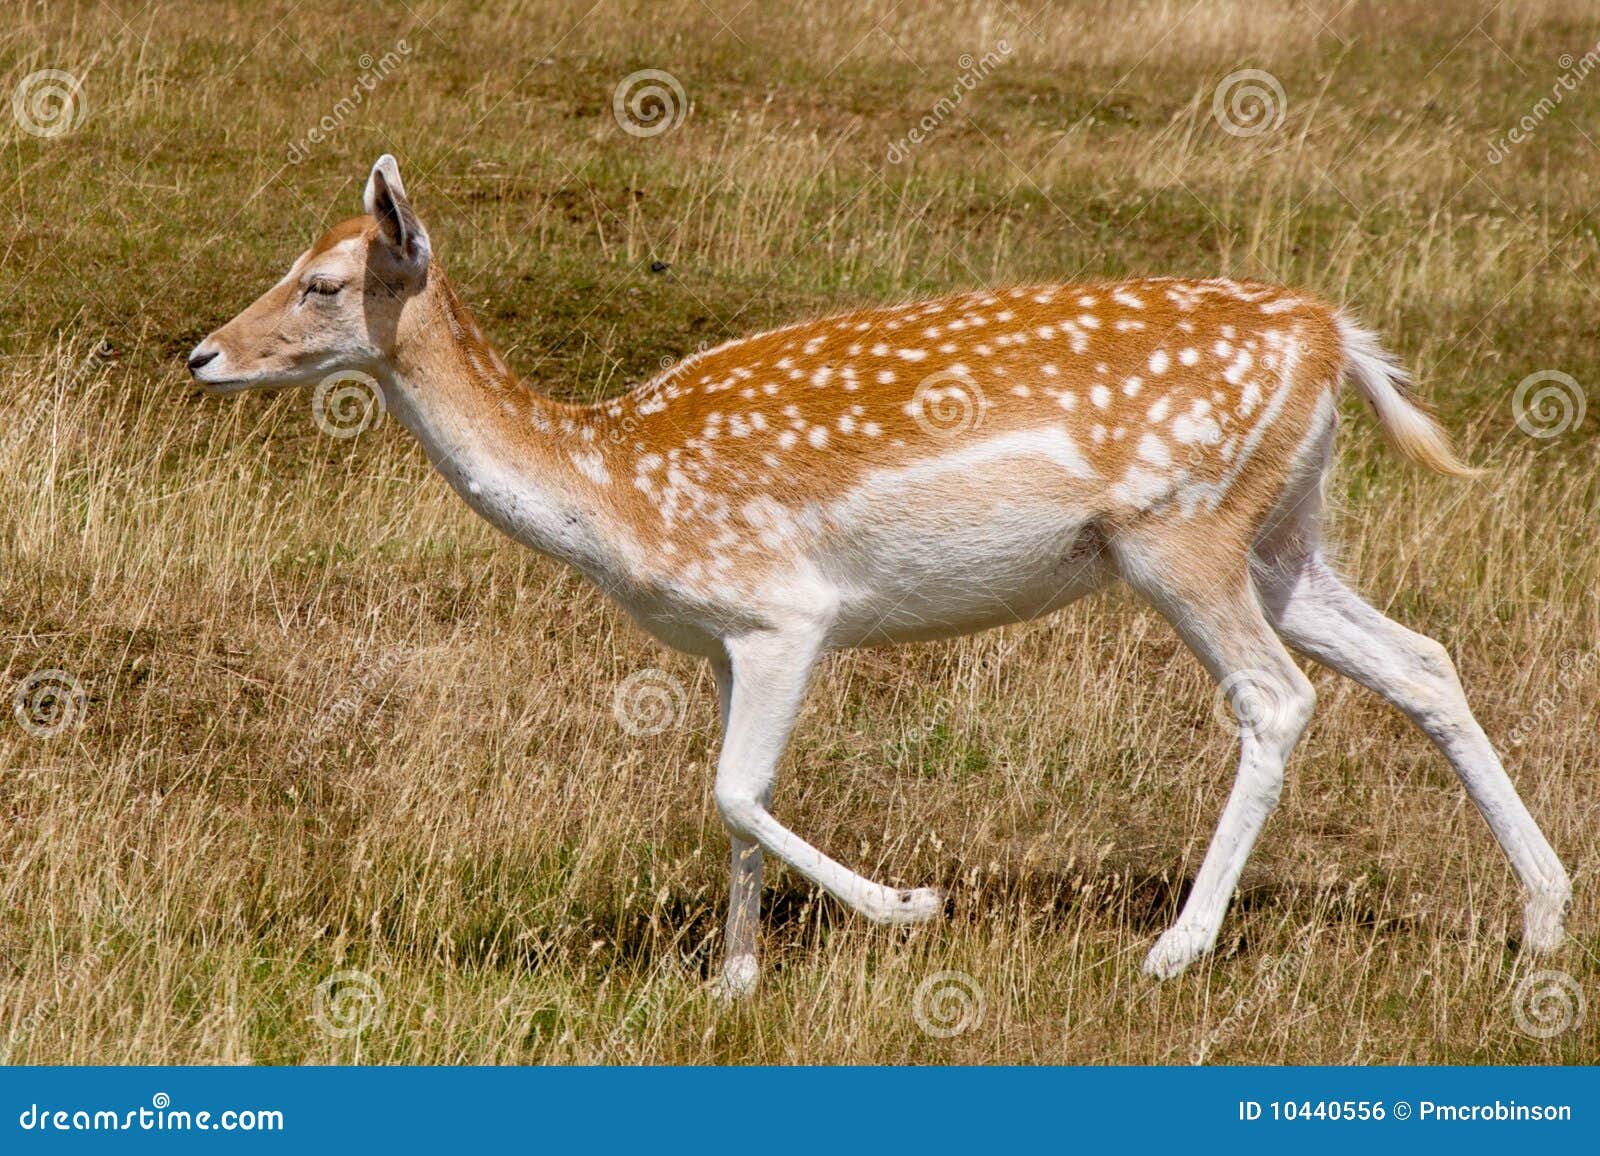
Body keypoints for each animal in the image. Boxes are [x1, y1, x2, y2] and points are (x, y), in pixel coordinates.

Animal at [188, 155, 1570, 993]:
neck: (616, 488)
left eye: (323, 282)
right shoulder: (723, 642)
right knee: (1422, 660)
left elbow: (733, 791)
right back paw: (1545, 916)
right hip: (1281, 532)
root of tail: (1337, 338)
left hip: (1180, 529)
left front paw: (911, 906)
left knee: (1277, 698)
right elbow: (727, 800)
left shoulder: (786, 611)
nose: (202, 353)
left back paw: (1175, 948)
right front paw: (734, 980)